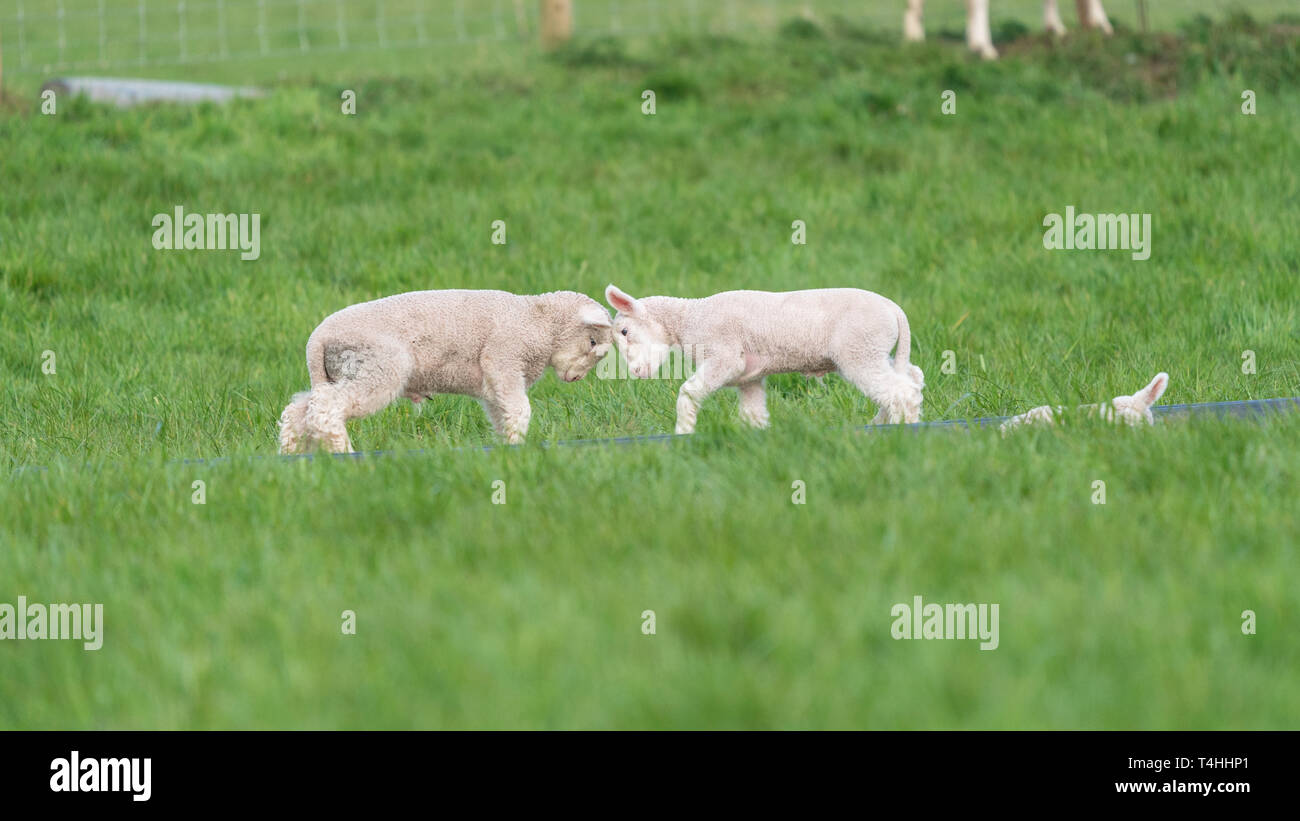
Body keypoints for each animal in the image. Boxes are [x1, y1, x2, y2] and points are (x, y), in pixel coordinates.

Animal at [278, 289, 614, 453]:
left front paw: (507, 446)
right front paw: (517, 445)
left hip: (339, 371)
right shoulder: (503, 359)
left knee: (300, 410)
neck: (539, 320)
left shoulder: (494, 384)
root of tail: (316, 340)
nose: (575, 378)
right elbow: (520, 409)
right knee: (327, 409)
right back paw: (344, 452)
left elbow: (503, 413)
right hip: (378, 366)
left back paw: (291, 454)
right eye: (592, 342)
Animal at [604, 284, 925, 434]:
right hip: (876, 351)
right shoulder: (749, 377)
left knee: (901, 392)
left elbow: (688, 392)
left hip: (860, 350)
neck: (689, 317)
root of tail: (893, 308)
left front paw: (683, 432)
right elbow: (753, 414)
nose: (637, 372)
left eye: (625, 331)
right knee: (912, 378)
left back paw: (904, 430)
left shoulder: (724, 356)